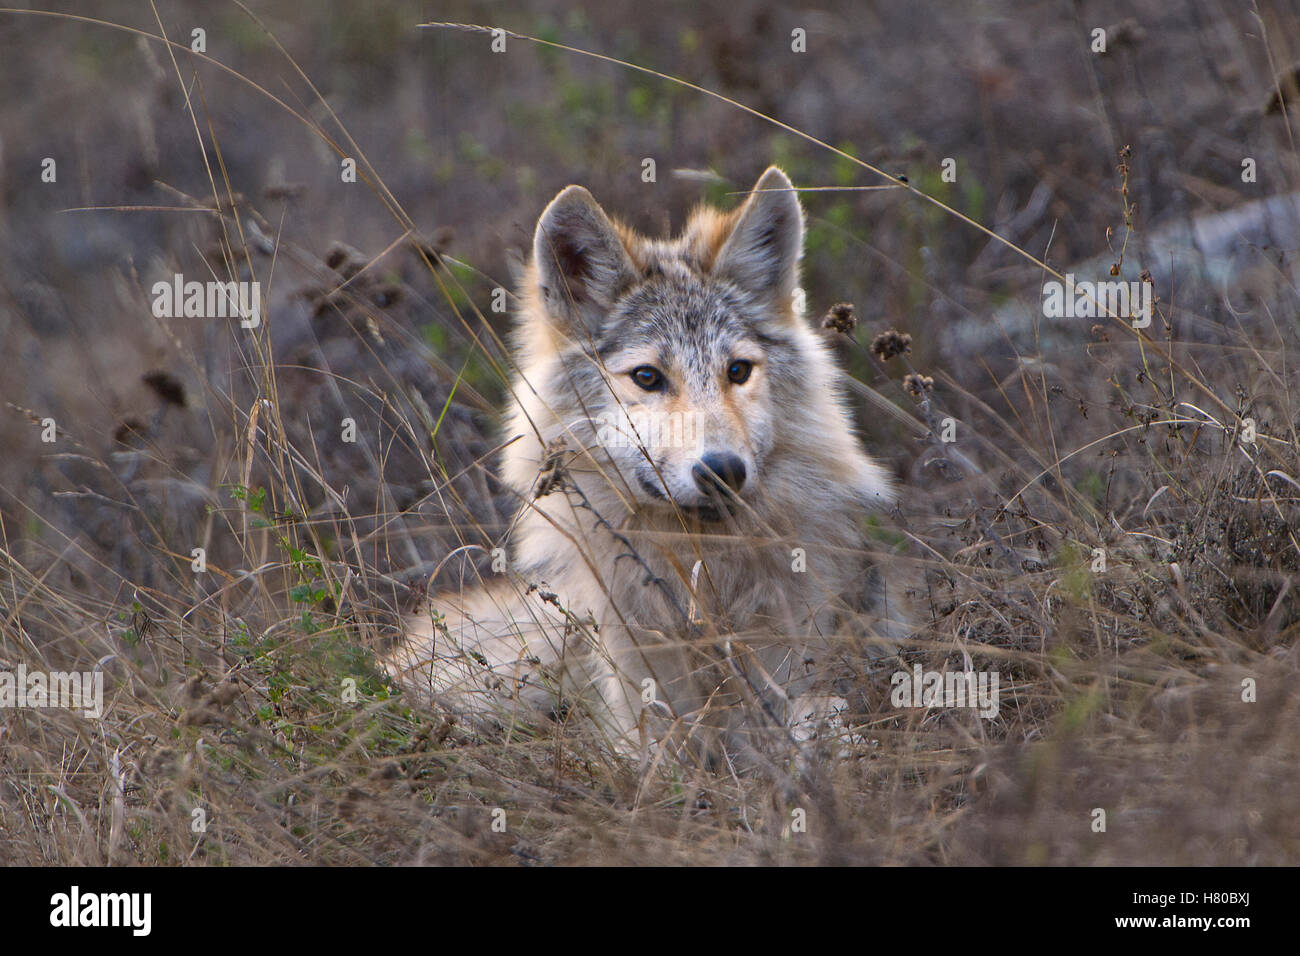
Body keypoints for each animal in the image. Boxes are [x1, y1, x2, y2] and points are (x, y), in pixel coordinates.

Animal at [385, 167, 901, 767]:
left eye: (738, 371)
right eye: (648, 377)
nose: (723, 470)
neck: (705, 574)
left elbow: (811, 726)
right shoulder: (641, 711)